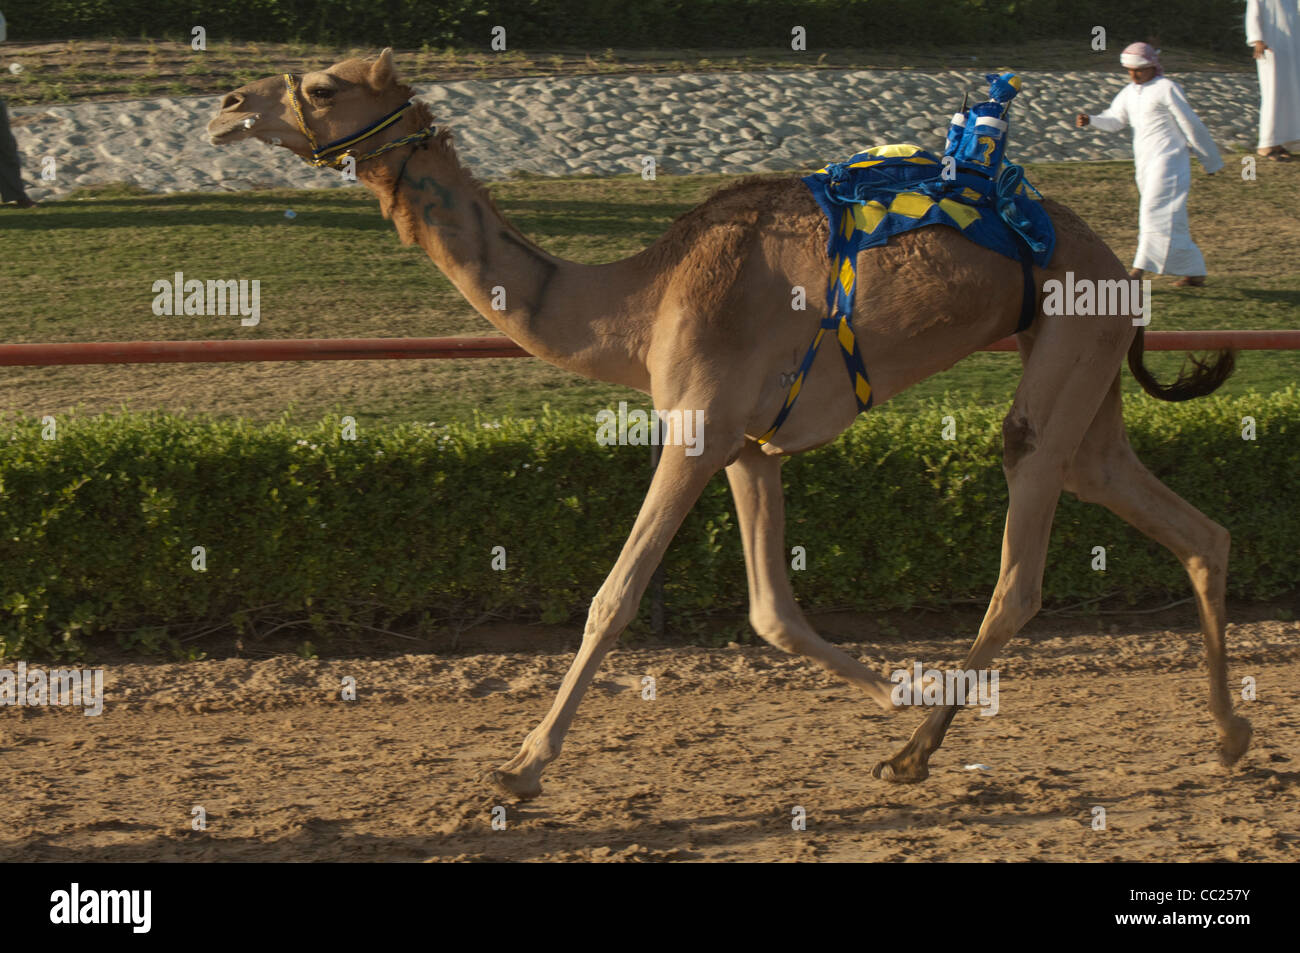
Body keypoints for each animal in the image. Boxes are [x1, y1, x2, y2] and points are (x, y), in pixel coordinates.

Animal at [208, 50, 1252, 800]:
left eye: (321, 85)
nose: (223, 104)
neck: (637, 303)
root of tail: (1120, 269)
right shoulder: (752, 449)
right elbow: (771, 612)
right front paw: (899, 690)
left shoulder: (697, 431)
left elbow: (614, 597)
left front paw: (518, 769)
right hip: (1089, 378)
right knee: (1189, 525)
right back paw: (1229, 733)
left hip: (1069, 342)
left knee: (1020, 561)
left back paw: (917, 753)